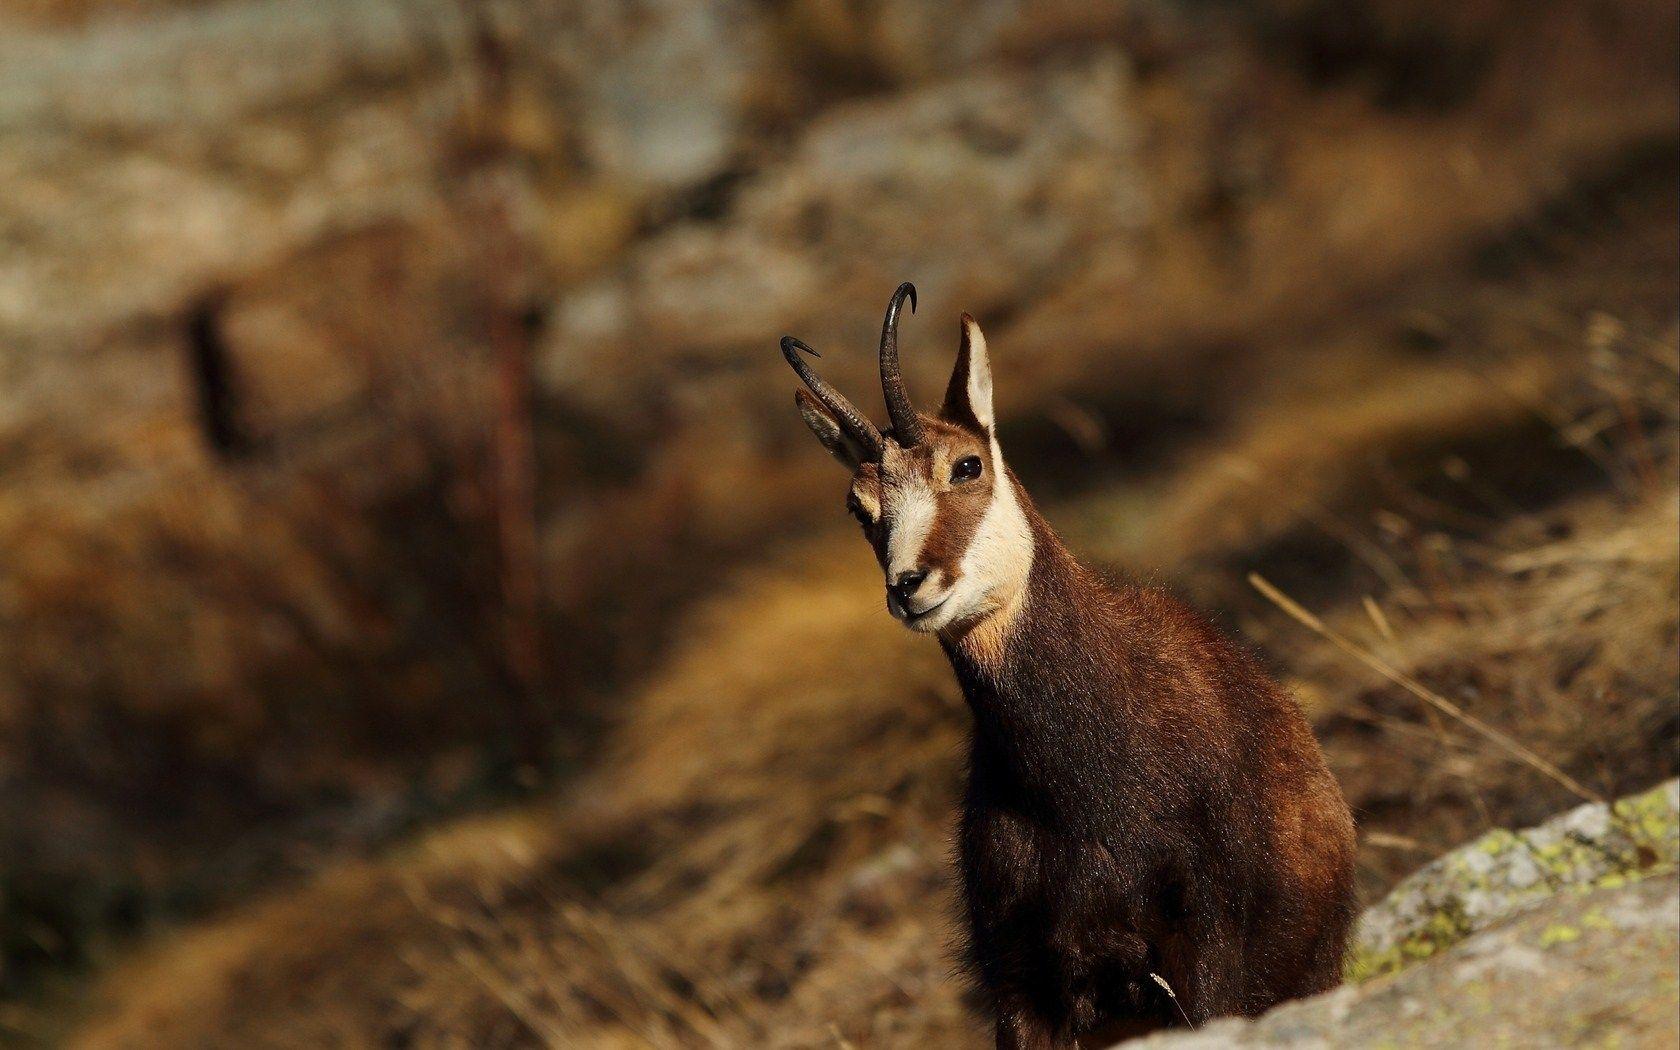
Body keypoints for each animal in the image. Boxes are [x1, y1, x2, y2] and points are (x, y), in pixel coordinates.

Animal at [781, 284, 1357, 1047]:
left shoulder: (1205, 948)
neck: (1078, 784)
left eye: (967, 465)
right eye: (858, 505)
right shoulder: (1024, 982)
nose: (909, 586)